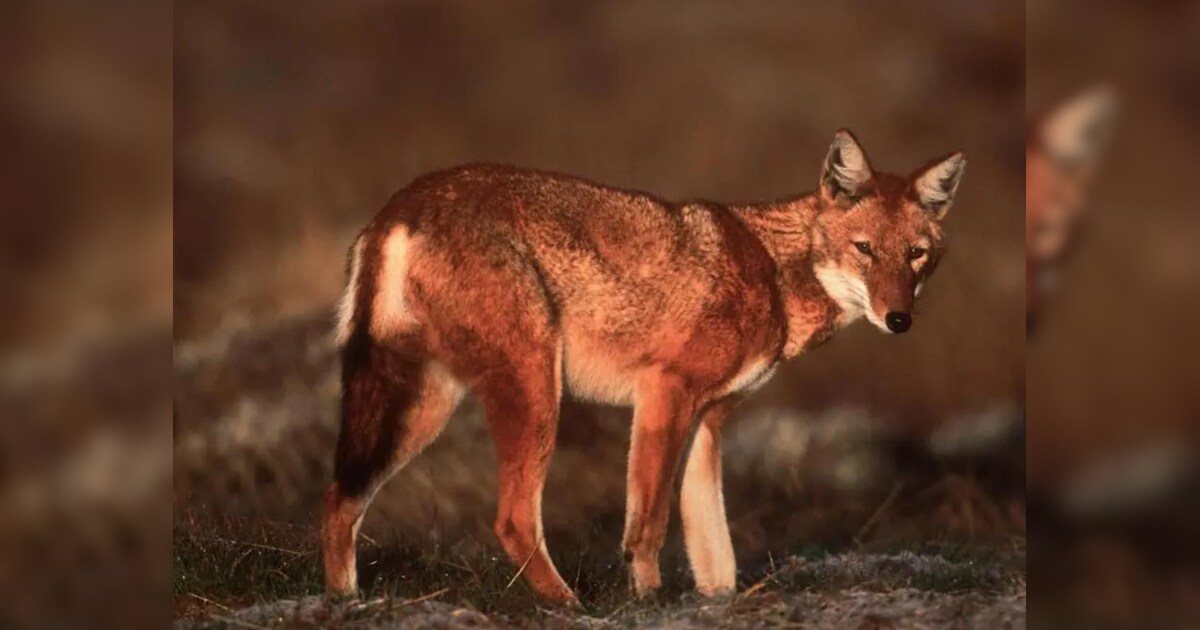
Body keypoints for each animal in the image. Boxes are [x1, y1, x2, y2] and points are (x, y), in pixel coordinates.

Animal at [322, 130, 965, 605]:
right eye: (865, 250)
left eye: (916, 256)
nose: (899, 319)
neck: (774, 272)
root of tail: (404, 202)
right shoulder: (665, 391)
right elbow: (649, 525)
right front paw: (648, 600)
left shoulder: (710, 420)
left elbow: (714, 546)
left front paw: (716, 602)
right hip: (534, 396)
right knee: (511, 519)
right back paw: (569, 606)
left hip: (424, 409)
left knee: (339, 500)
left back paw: (343, 600)